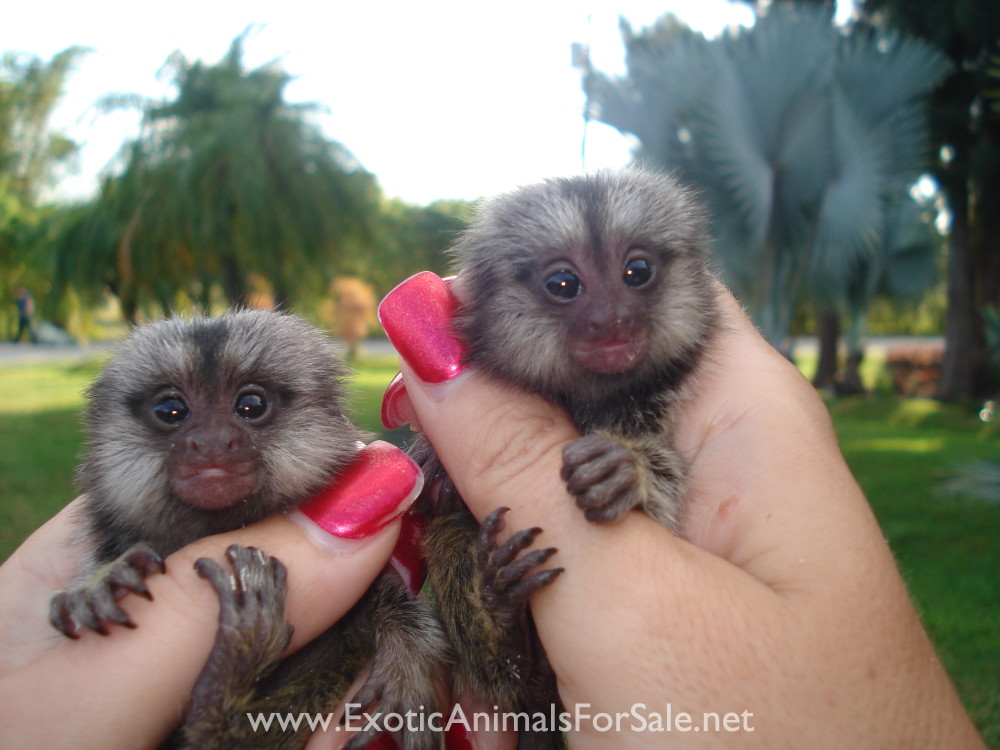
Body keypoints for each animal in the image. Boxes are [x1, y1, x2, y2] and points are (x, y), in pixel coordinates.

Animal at [49, 309, 448, 750]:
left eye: (251, 405)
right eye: (170, 410)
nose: (211, 442)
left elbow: (398, 607)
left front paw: (406, 665)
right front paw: (102, 580)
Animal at [413, 167, 718, 749]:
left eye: (637, 271)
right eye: (563, 284)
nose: (614, 319)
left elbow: (665, 501)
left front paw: (625, 472)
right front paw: (433, 463)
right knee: (448, 541)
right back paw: (508, 634)